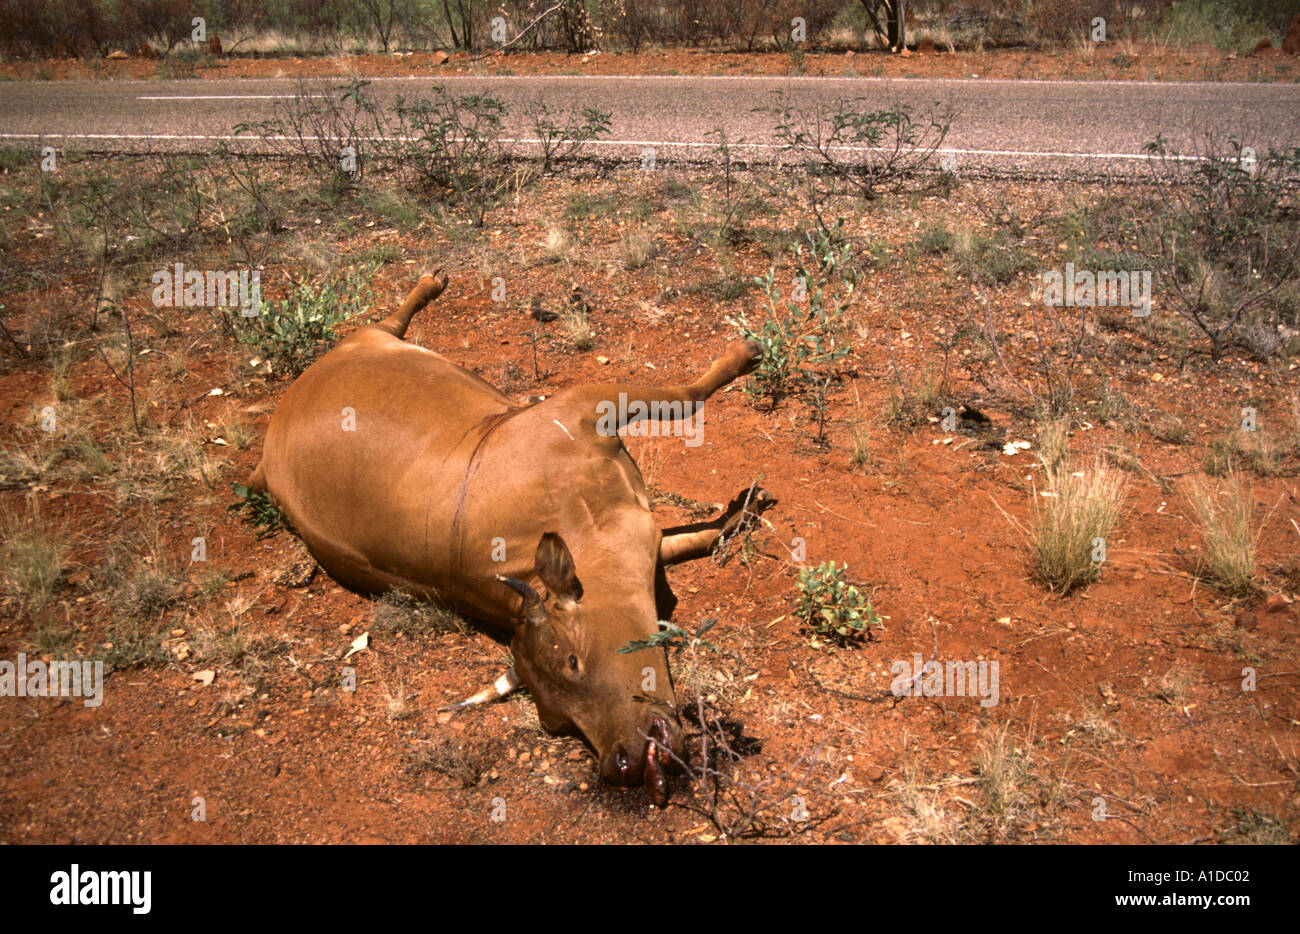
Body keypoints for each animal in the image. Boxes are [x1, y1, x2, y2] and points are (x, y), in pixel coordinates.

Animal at [247, 272, 773, 805]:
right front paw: (743, 507)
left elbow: (688, 396)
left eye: (573, 661)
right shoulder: (628, 528)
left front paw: (746, 355)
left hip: (366, 340)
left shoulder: (585, 405)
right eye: (556, 722)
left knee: (388, 319)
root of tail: (269, 449)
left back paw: (431, 283)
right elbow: (694, 524)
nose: (622, 764)